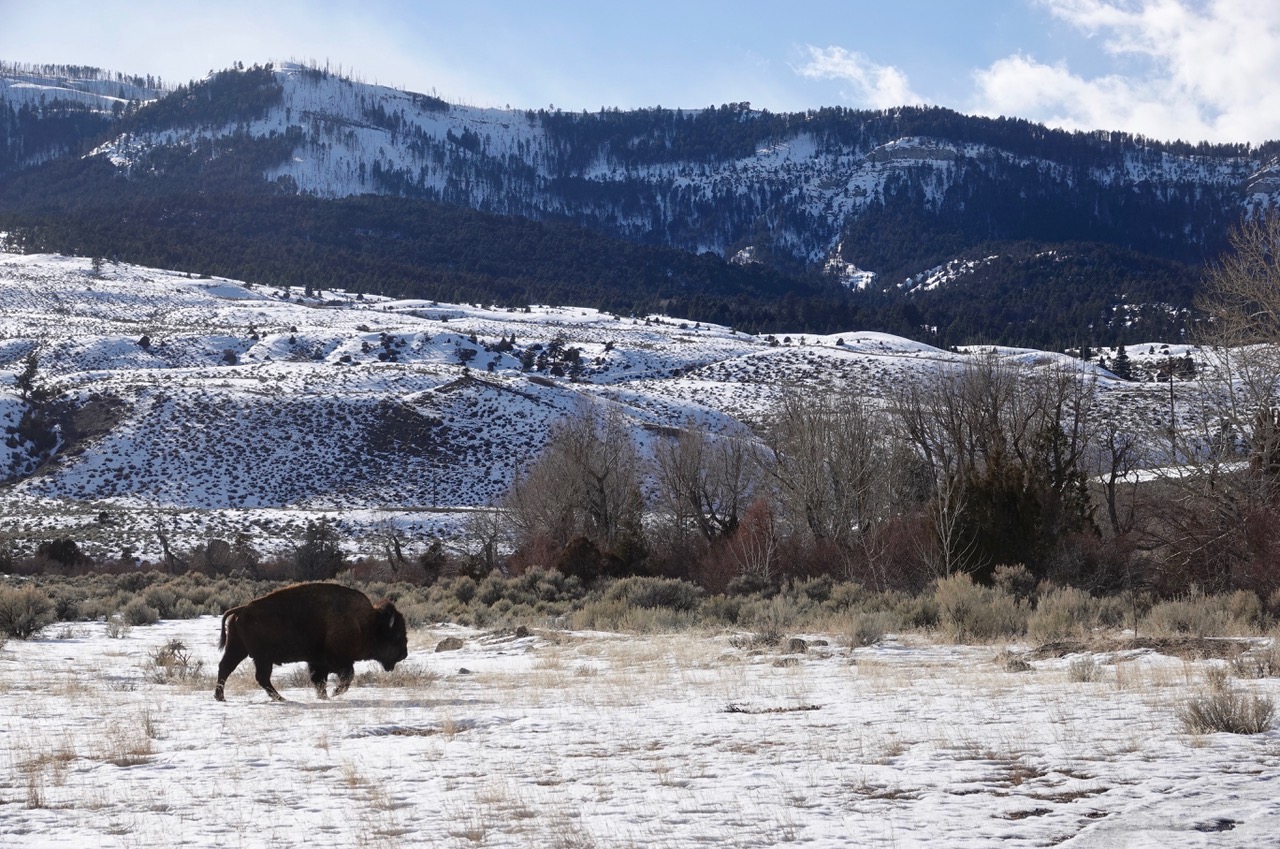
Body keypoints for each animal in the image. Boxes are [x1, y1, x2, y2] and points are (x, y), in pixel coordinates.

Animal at [215, 582, 408, 702]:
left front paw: (325, 696)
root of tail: (242, 609)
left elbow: (320, 680)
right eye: (397, 634)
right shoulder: (338, 660)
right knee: (260, 677)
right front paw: (334, 693)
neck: (366, 623)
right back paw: (281, 698)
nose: (404, 654)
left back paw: (221, 697)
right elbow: (346, 676)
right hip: (261, 657)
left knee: (226, 668)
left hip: (238, 649)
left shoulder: (318, 662)